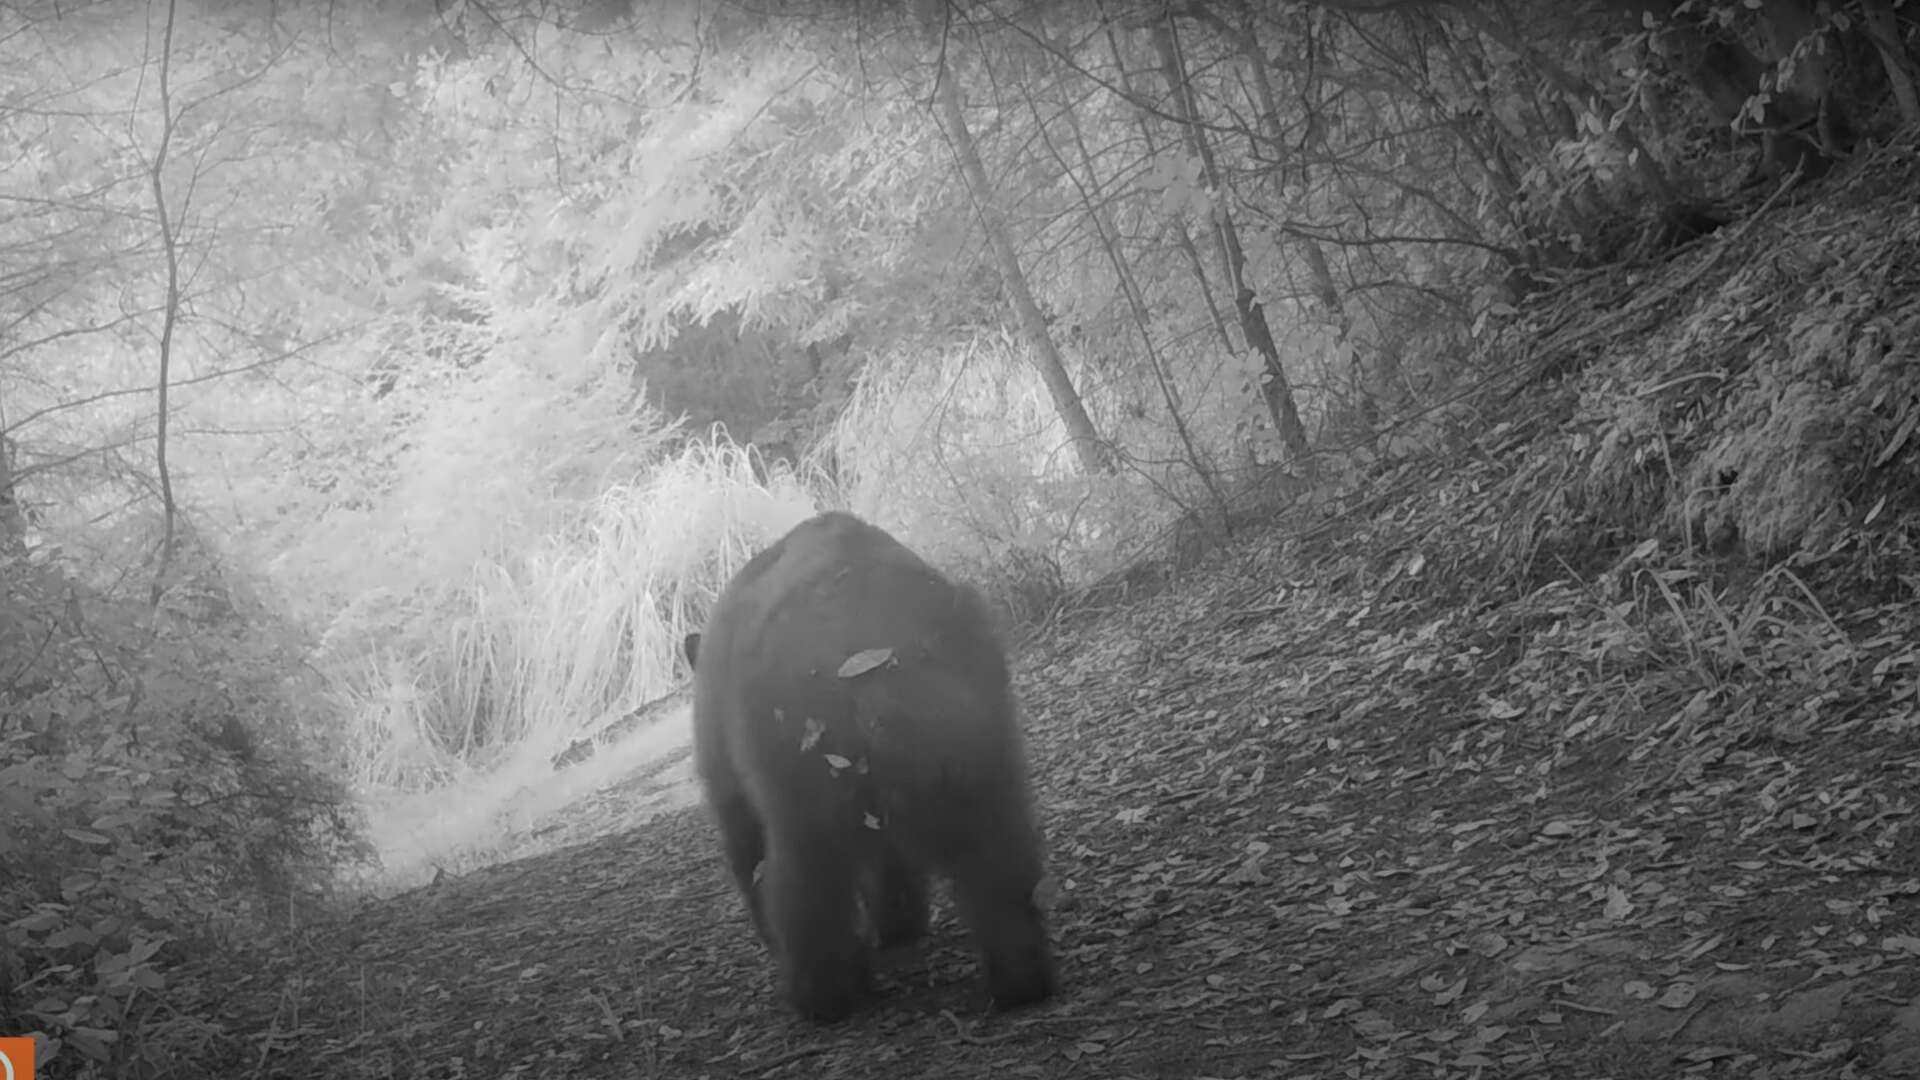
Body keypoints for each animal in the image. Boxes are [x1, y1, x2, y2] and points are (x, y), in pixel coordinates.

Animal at [687, 511, 1056, 1023]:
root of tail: (871, 652)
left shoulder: (726, 755)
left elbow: (744, 844)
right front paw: (900, 924)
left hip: (794, 749)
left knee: (806, 872)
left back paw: (821, 995)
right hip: (971, 717)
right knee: (995, 841)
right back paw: (1021, 975)